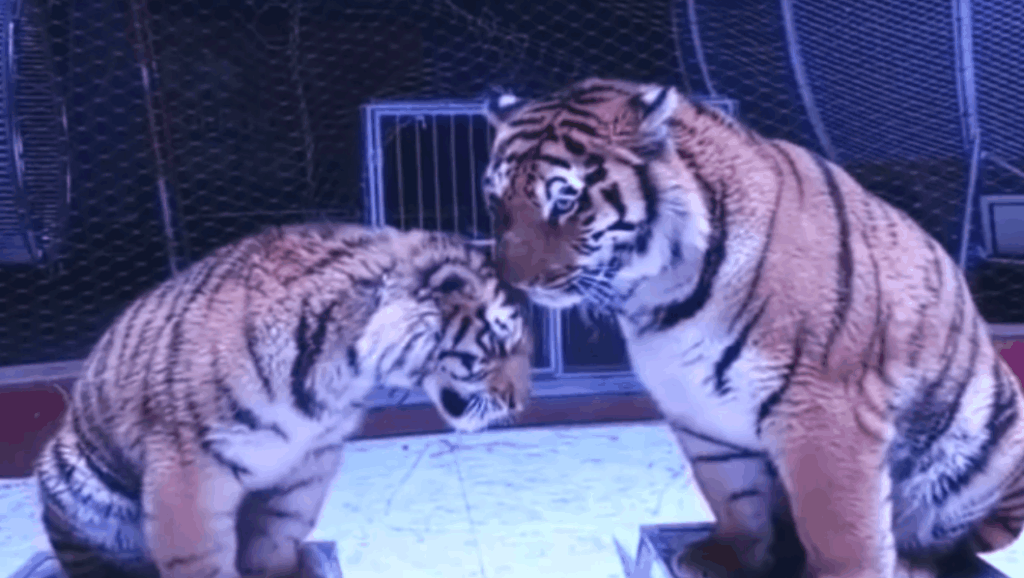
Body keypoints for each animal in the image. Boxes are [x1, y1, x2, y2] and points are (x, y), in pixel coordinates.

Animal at [34, 222, 532, 578]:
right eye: (499, 347)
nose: (520, 403)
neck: (349, 370)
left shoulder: (312, 458)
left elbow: (279, 530)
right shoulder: (188, 467)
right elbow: (199, 558)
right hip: (76, 484)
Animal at [482, 77, 1024, 578]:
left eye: (565, 203)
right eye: (498, 203)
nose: (513, 278)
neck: (660, 296)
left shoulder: (827, 407)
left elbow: (840, 522)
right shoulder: (695, 408)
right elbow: (733, 494)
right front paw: (726, 555)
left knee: (955, 541)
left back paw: (912, 560)